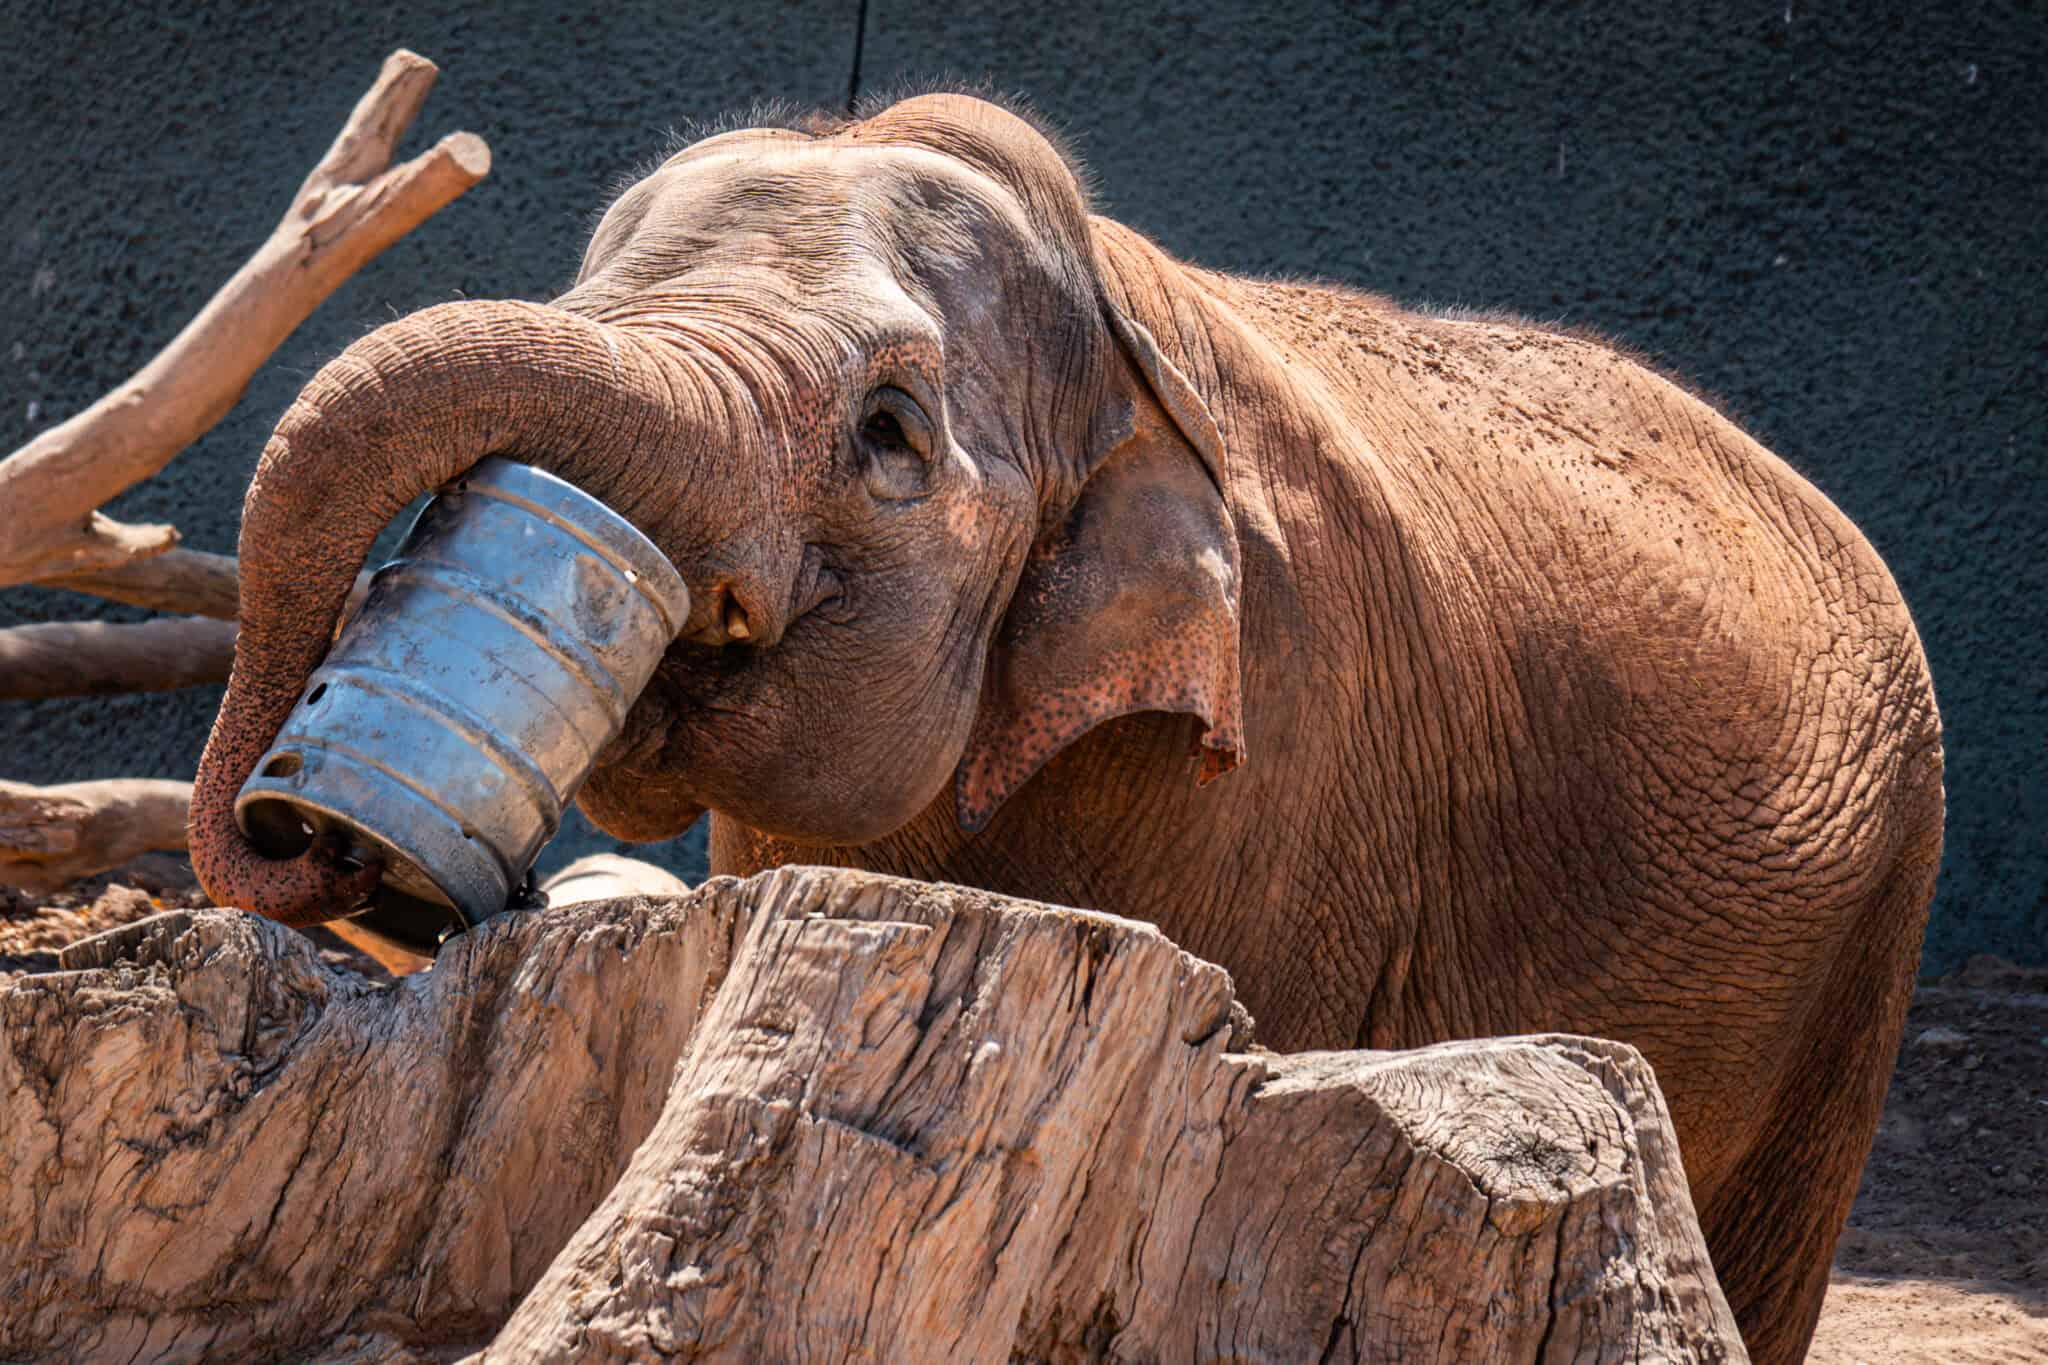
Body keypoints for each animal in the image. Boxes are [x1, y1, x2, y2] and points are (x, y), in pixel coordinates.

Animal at [188, 92, 1943, 1362]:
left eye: (891, 434)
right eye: (589, 303)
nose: (311, 837)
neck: (1113, 337)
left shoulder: (1283, 754)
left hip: (1875, 921)